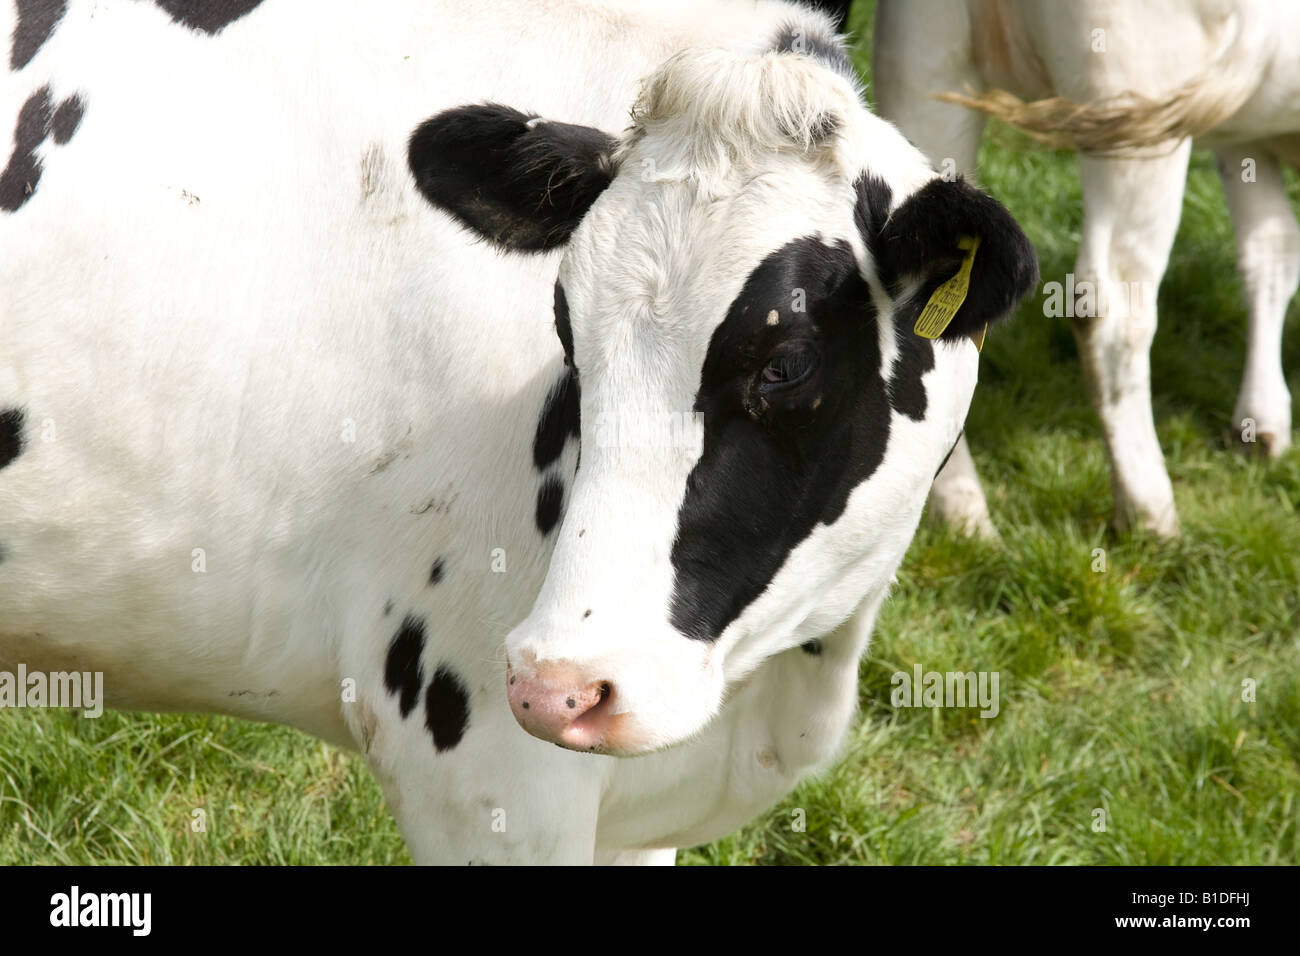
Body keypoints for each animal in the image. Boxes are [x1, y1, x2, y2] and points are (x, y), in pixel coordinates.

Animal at [875, 0, 1300, 539]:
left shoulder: (1247, 142)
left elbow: (1272, 253)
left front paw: (1263, 420)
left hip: (925, 67)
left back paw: (958, 512)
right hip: (1137, 109)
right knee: (1110, 316)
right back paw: (1150, 513)